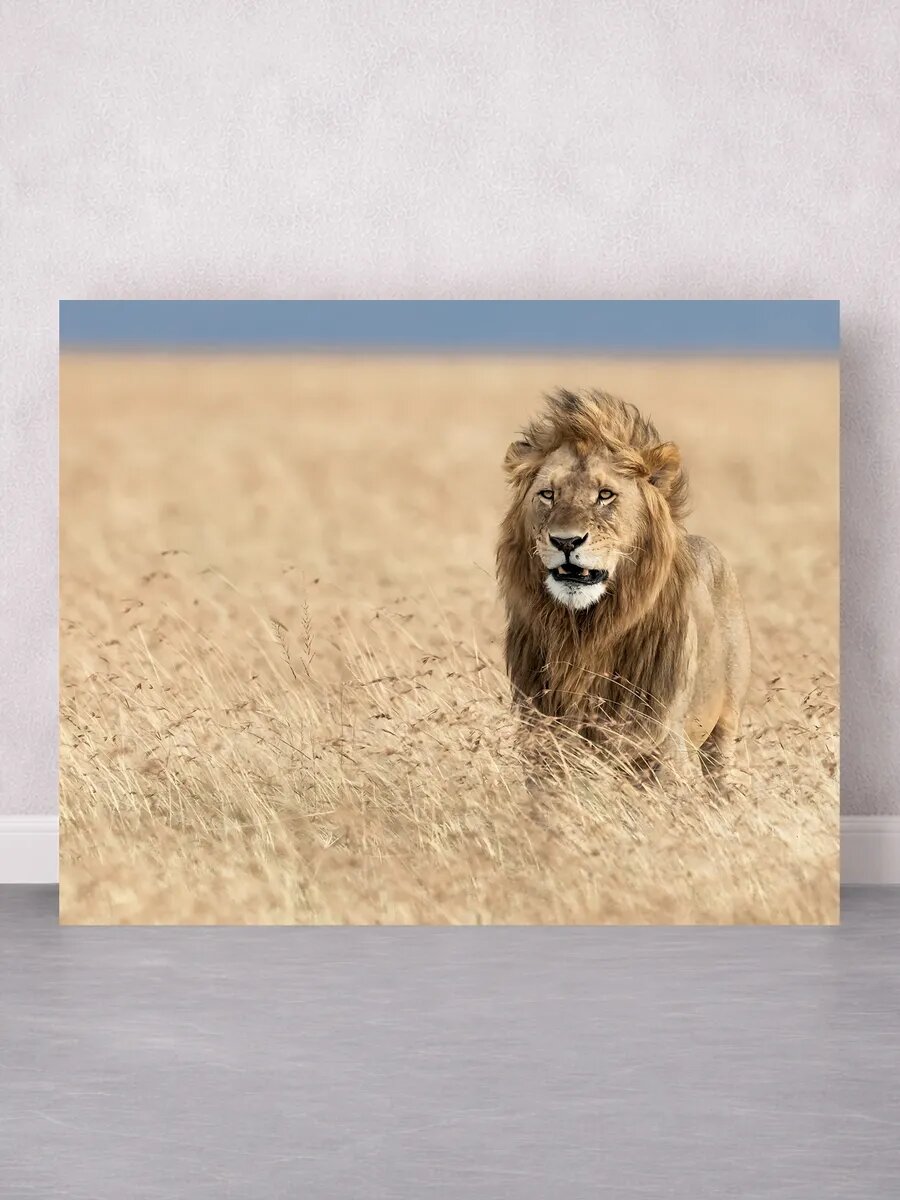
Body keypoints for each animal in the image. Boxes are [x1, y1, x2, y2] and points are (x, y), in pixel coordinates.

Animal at [496, 388, 751, 789]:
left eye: (605, 494)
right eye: (548, 494)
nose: (565, 541)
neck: (584, 633)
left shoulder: (662, 742)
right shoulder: (542, 738)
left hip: (725, 727)